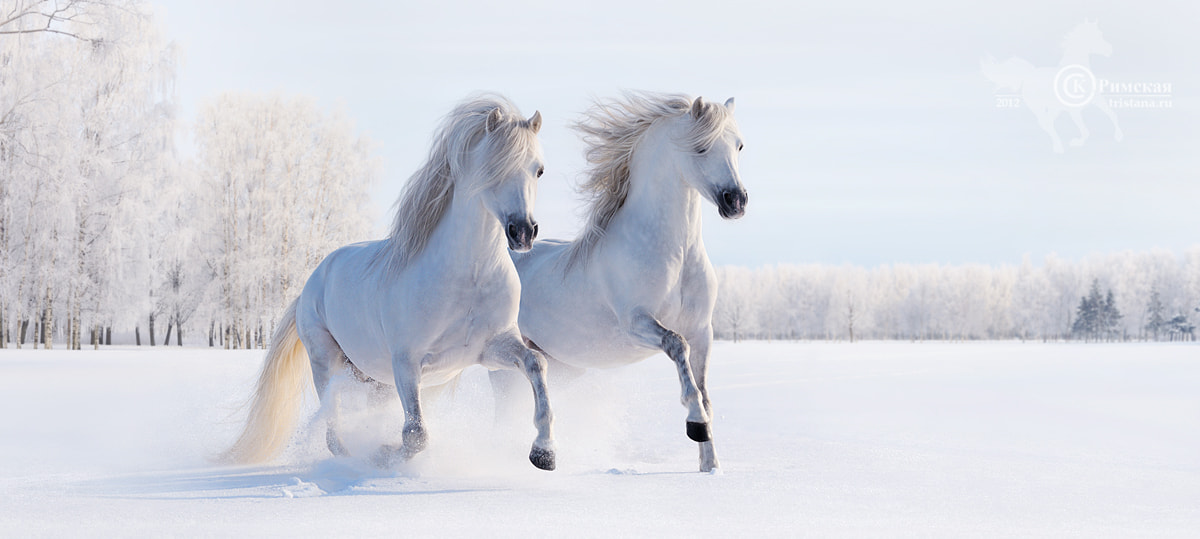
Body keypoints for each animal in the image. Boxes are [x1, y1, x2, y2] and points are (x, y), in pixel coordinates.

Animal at [223, 96, 558, 471]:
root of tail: (311, 283)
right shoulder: (406, 363)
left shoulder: (491, 349)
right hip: (326, 362)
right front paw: (383, 455)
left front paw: (544, 453)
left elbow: (537, 364)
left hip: (374, 380)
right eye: (493, 166)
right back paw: (352, 459)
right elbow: (415, 434)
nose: (523, 232)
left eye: (538, 169)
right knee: (332, 427)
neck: (467, 278)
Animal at [493, 92, 746, 472]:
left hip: (564, 365)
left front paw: (710, 466)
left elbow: (704, 392)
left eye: (739, 145)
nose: (736, 201)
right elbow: (677, 346)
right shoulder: (637, 323)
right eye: (701, 147)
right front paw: (696, 426)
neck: (675, 255)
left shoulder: (703, 331)